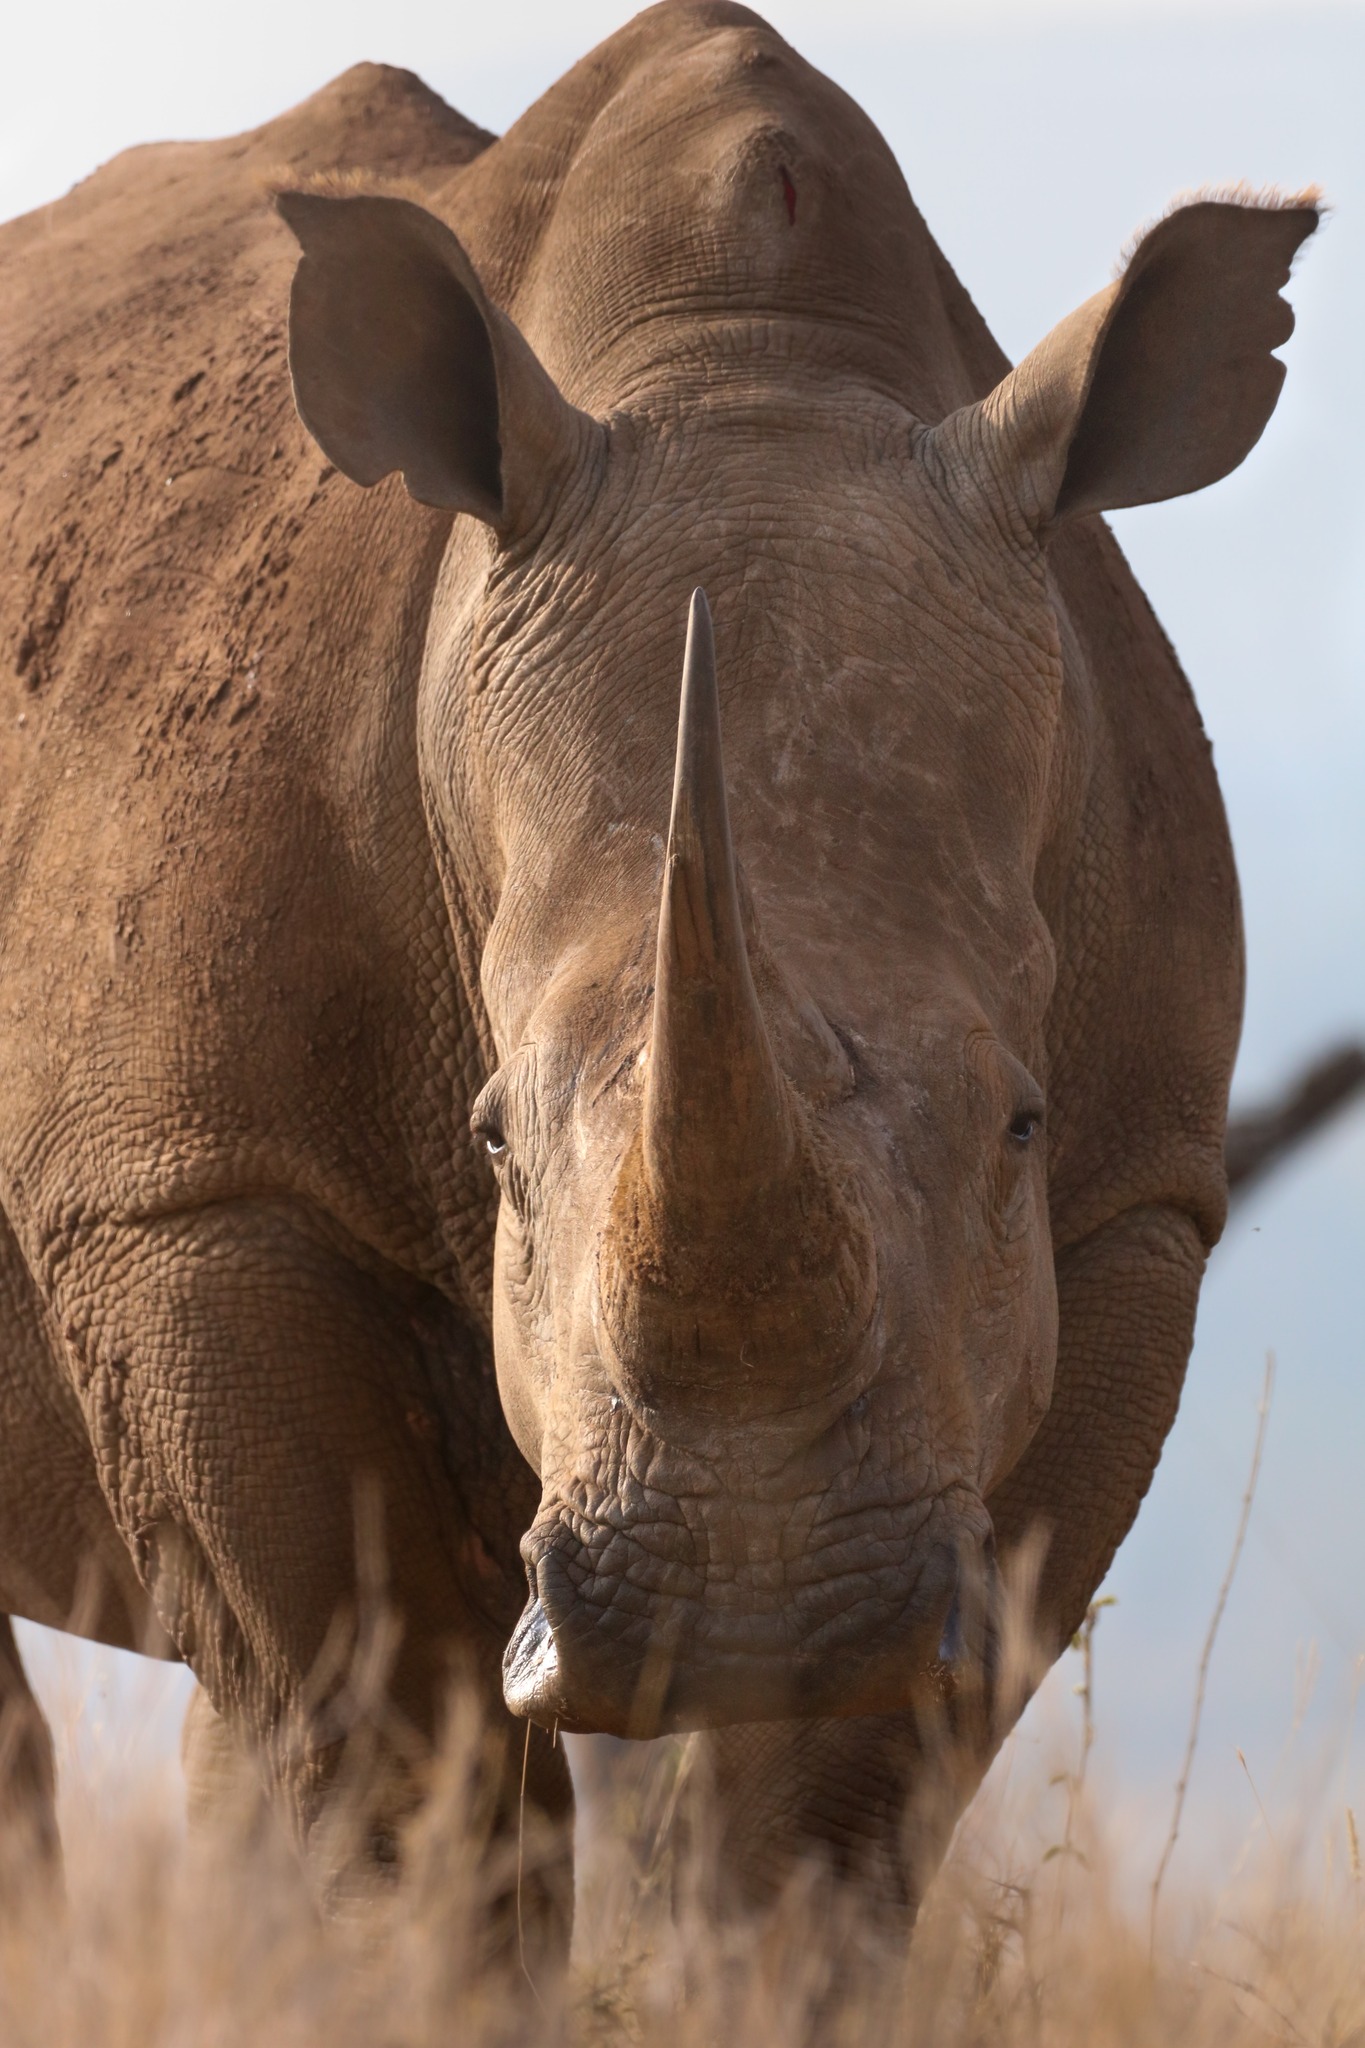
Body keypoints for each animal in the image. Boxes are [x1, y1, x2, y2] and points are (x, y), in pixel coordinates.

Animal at [0, 0, 1316, 1930]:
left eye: (1020, 1123)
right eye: (490, 1140)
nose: (747, 1615)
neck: (743, 366)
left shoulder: (1132, 1200)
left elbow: (838, 1812)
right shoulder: (186, 1184)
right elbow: (393, 1753)